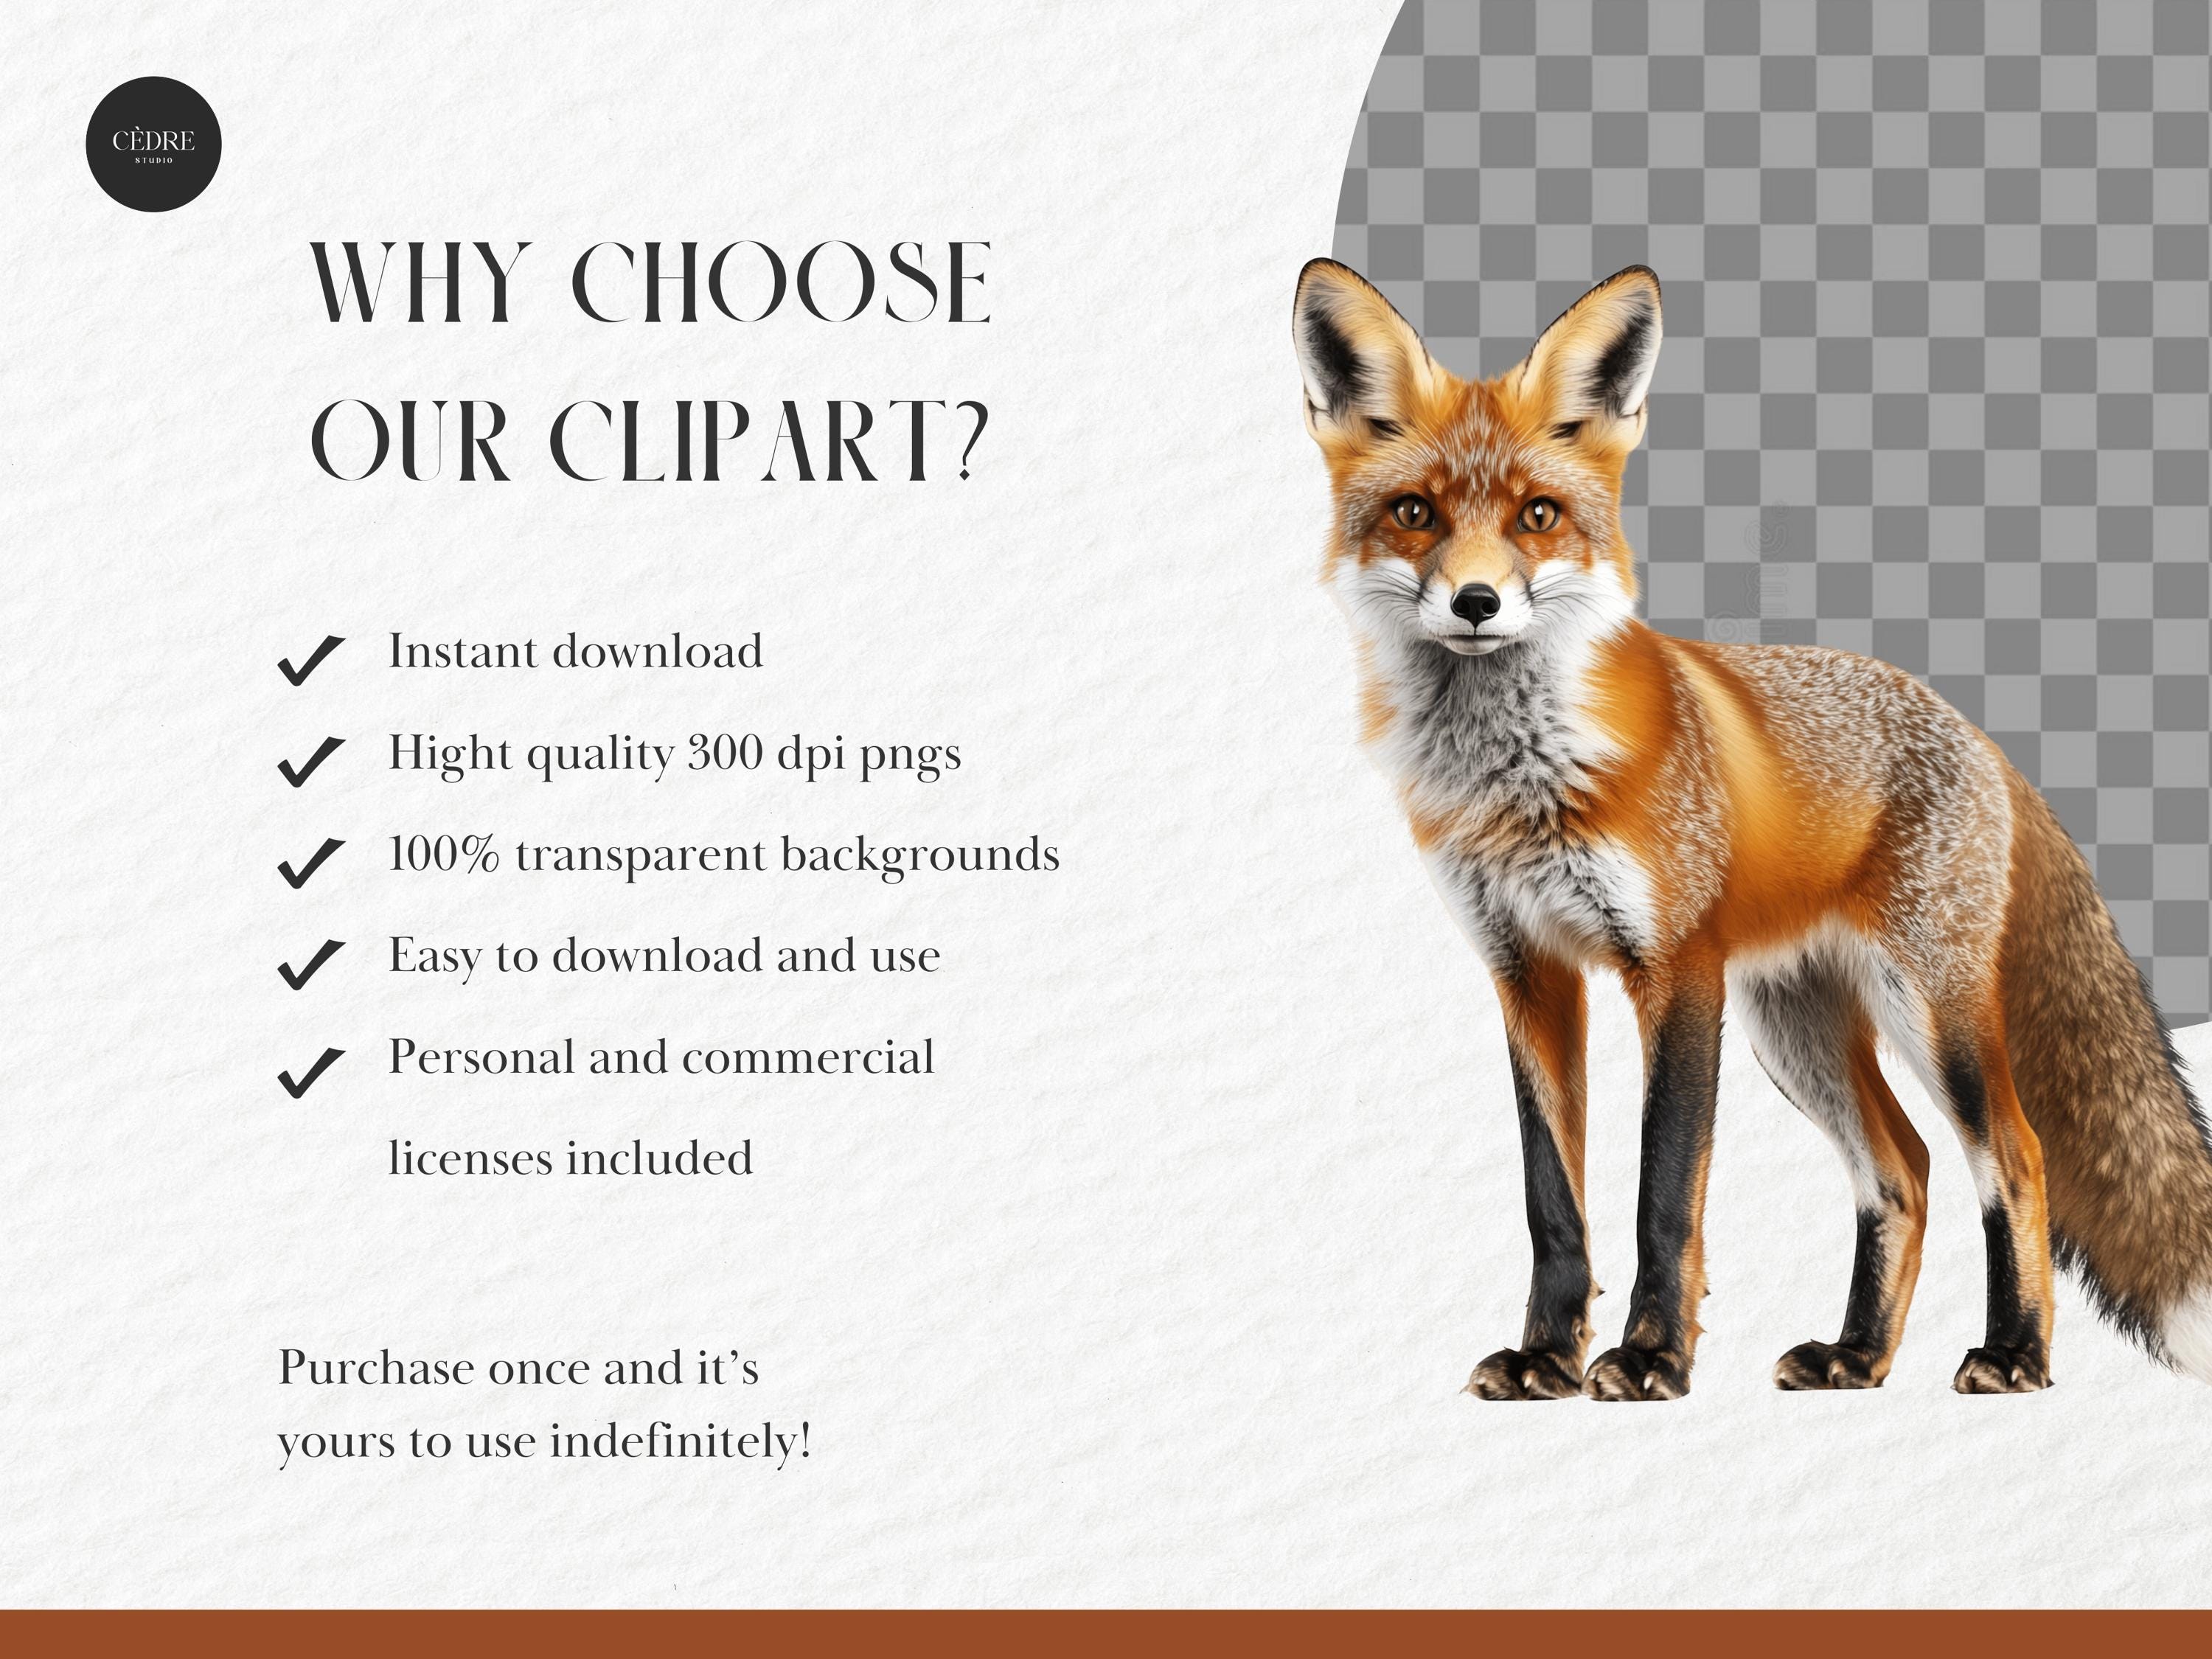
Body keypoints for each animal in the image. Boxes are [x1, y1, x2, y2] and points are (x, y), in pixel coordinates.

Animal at [1293, 257, 2212, 1399]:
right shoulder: (1527, 972)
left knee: (2015, 1153)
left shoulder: (1676, 967)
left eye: (1539, 515)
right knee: (1903, 1170)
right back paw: (1858, 1354)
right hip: (1796, 1026)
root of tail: (1978, 736)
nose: (1474, 602)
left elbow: (1663, 1192)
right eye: (1414, 511)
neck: (1520, 778)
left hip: (1929, 1009)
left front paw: (1651, 1356)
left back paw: (2014, 1352)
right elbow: (1554, 1201)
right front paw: (1548, 1355)